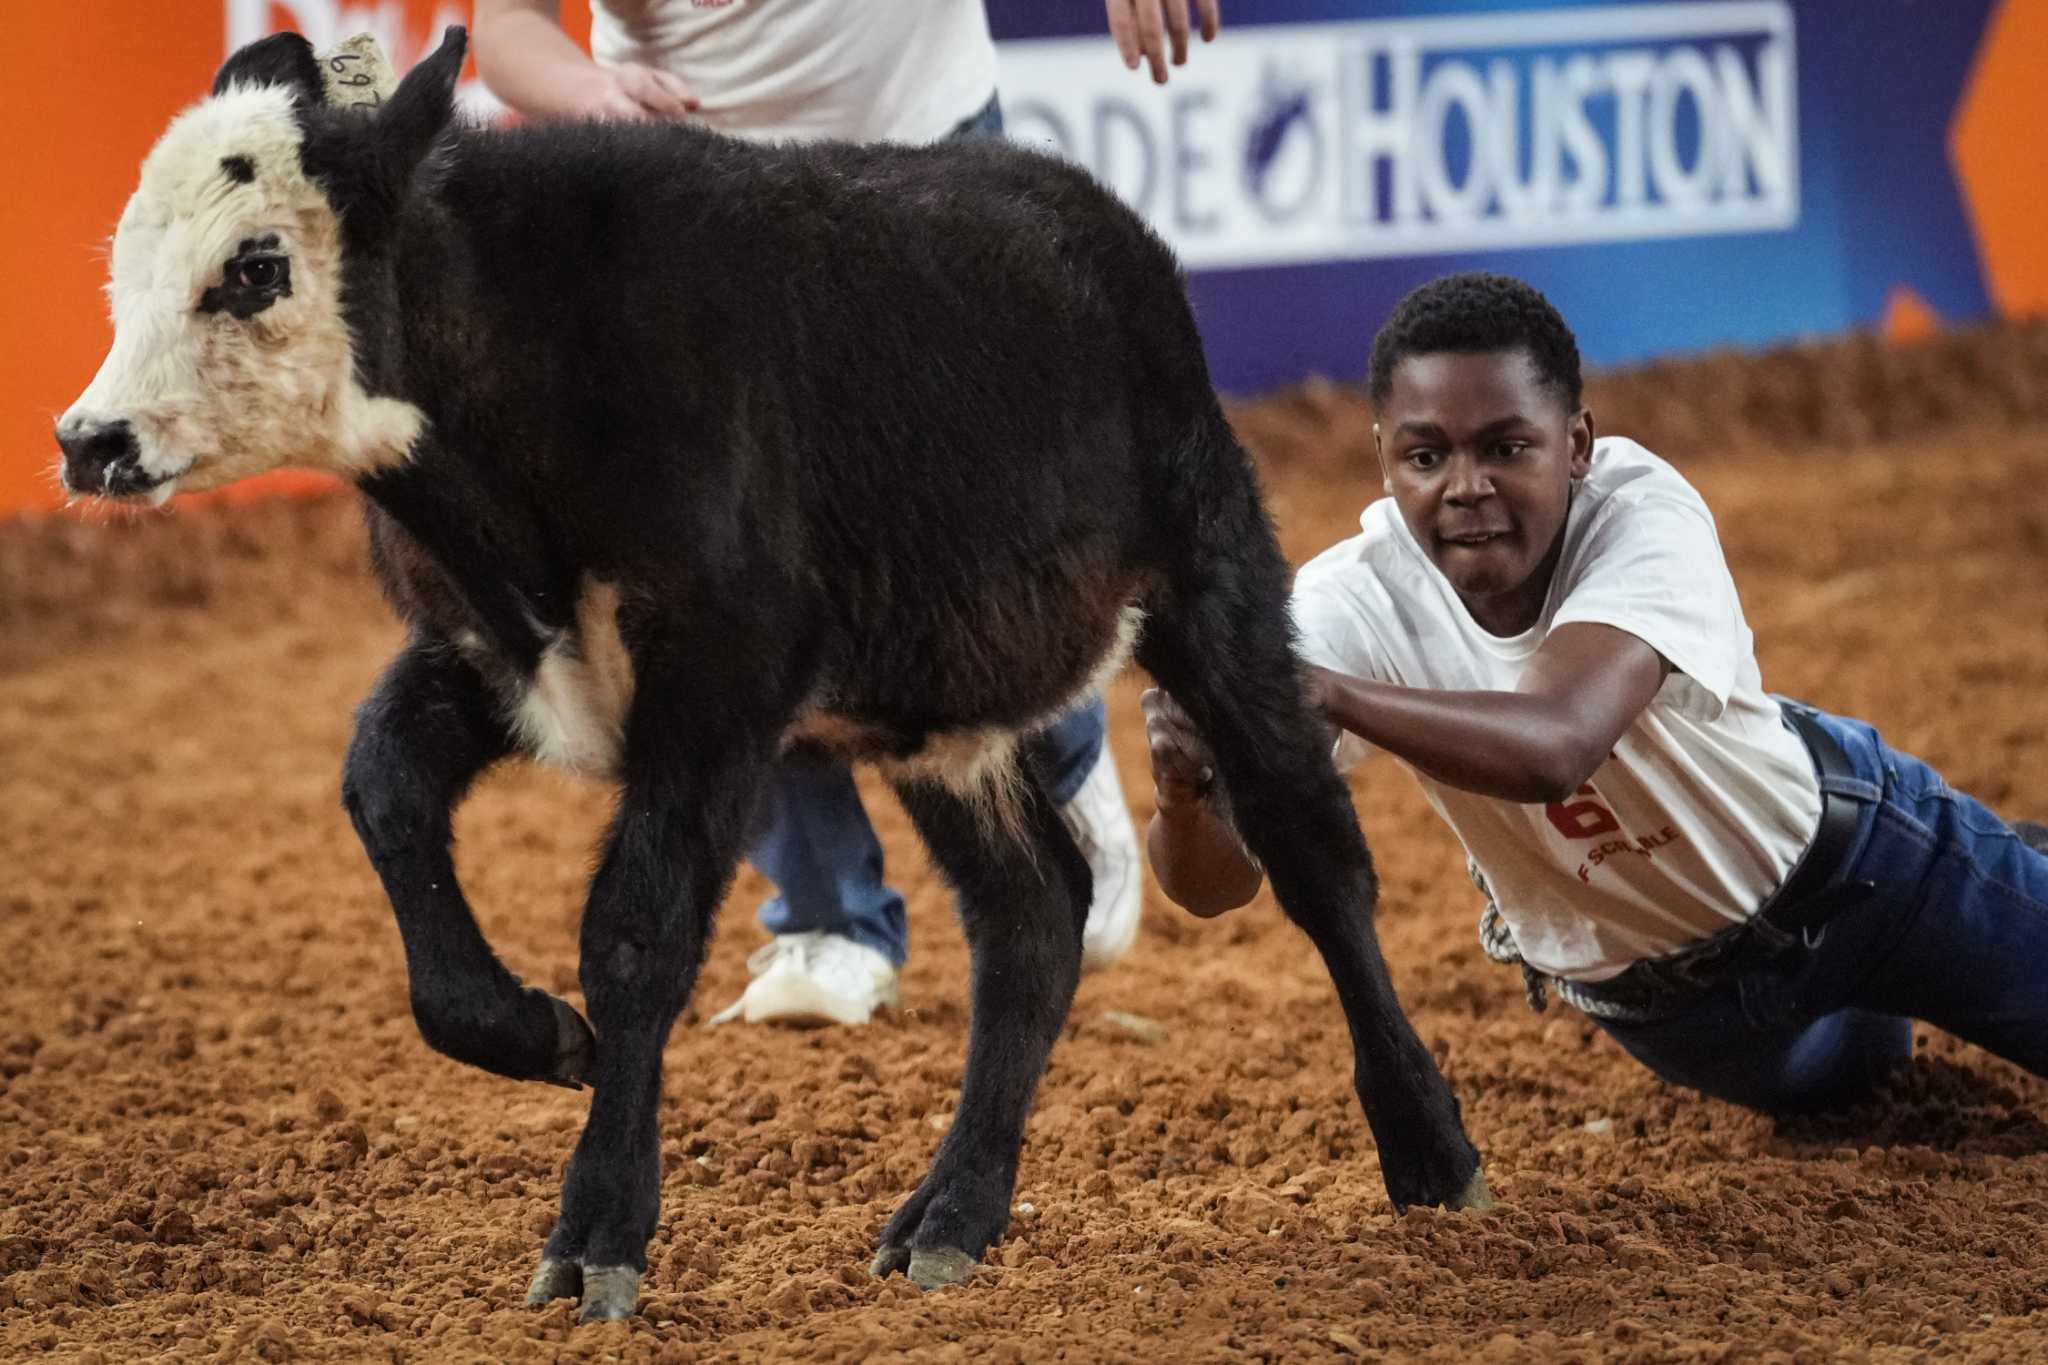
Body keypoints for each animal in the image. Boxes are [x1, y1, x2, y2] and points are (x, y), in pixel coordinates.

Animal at [55, 27, 1490, 1322]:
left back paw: (1431, 1147)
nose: (87, 440)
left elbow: (633, 932)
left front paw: (597, 1234)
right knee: (1033, 913)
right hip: (933, 712)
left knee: (1313, 853)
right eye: (126, 260)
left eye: (254, 265)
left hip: (1212, 573)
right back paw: (949, 1217)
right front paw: (536, 1034)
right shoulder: (491, 652)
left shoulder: (721, 677)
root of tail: (1099, 227)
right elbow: (385, 795)